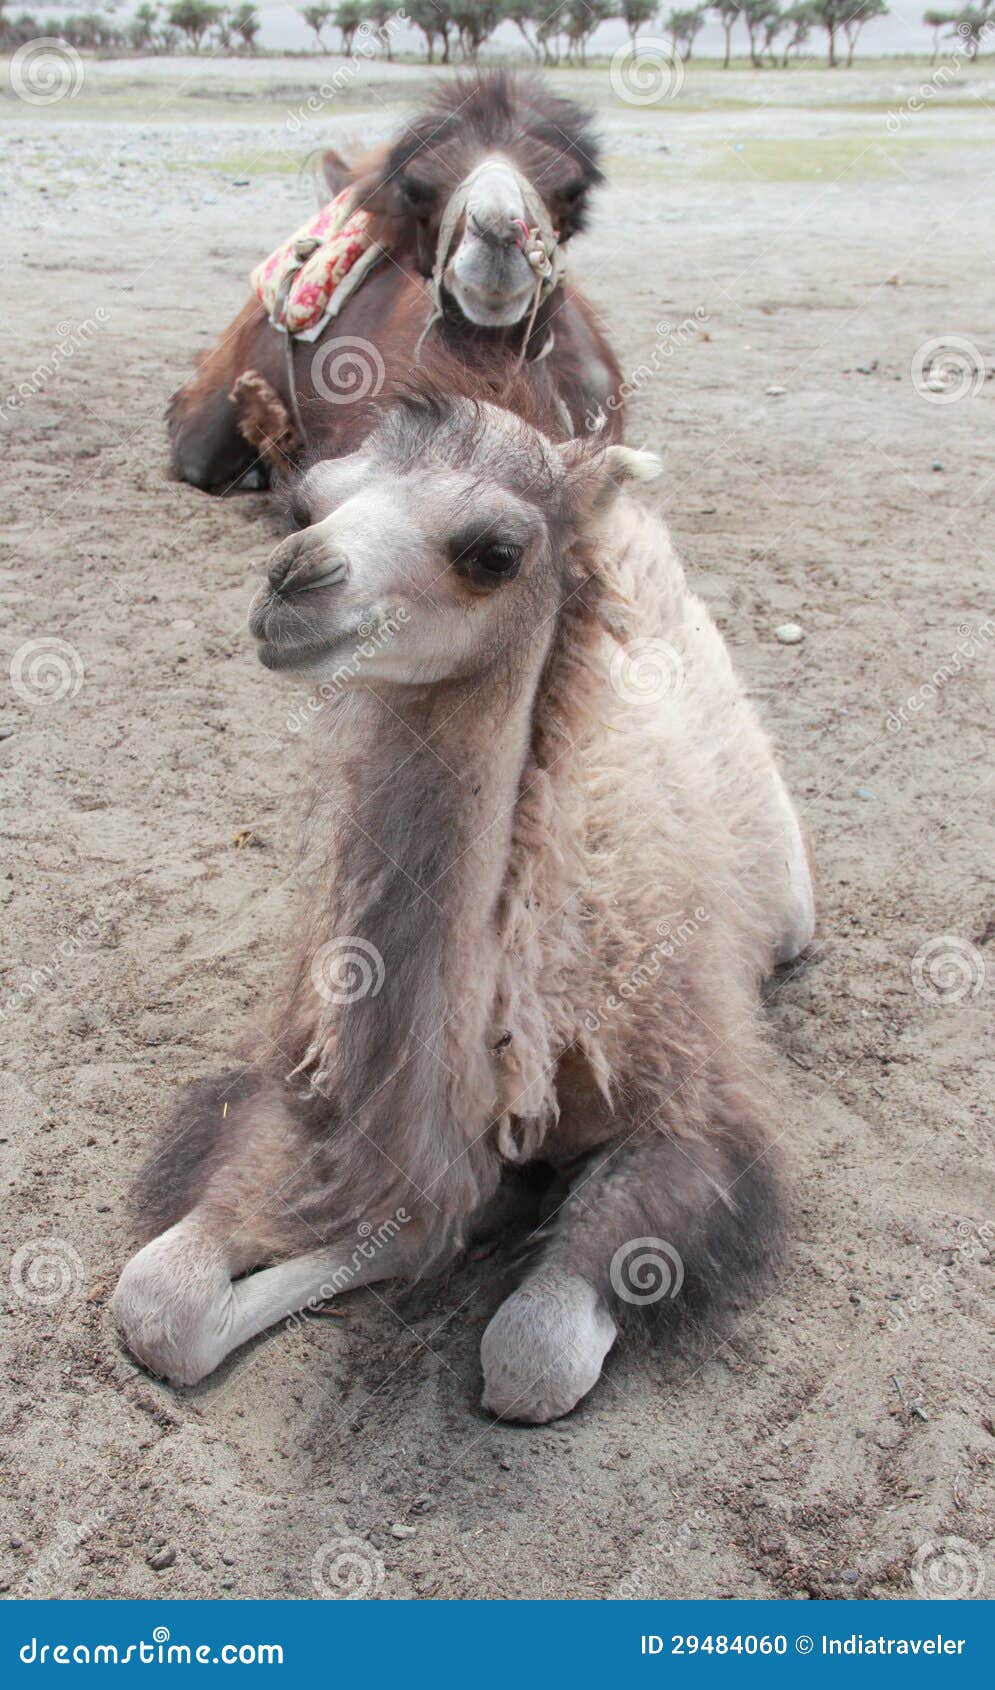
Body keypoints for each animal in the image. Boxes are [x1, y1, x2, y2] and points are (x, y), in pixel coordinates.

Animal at [114, 372, 815, 1424]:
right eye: (303, 504)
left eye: (495, 551)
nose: (292, 581)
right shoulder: (315, 1077)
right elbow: (160, 1300)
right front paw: (451, 1217)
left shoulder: (691, 1111)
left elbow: (533, 1353)